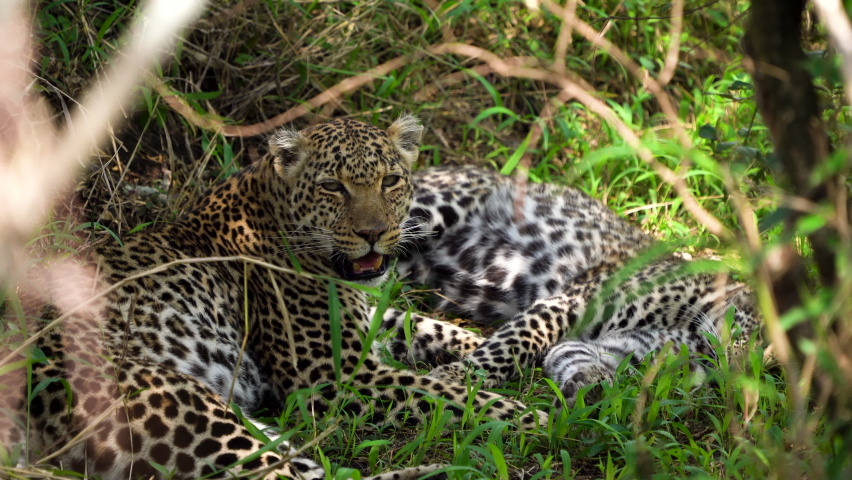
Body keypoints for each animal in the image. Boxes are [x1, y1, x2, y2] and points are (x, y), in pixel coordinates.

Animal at [0, 117, 546, 480]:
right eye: (332, 186)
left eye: (390, 180)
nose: (373, 234)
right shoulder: (334, 375)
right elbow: (445, 395)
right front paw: (538, 419)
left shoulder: (370, 321)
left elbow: (433, 329)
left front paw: (486, 356)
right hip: (180, 406)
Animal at [376, 166, 761, 408]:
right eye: (752, 336)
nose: (736, 373)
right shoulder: (570, 302)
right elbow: (514, 344)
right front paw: (456, 379)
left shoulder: (621, 348)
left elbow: (575, 356)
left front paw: (591, 387)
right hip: (425, 211)